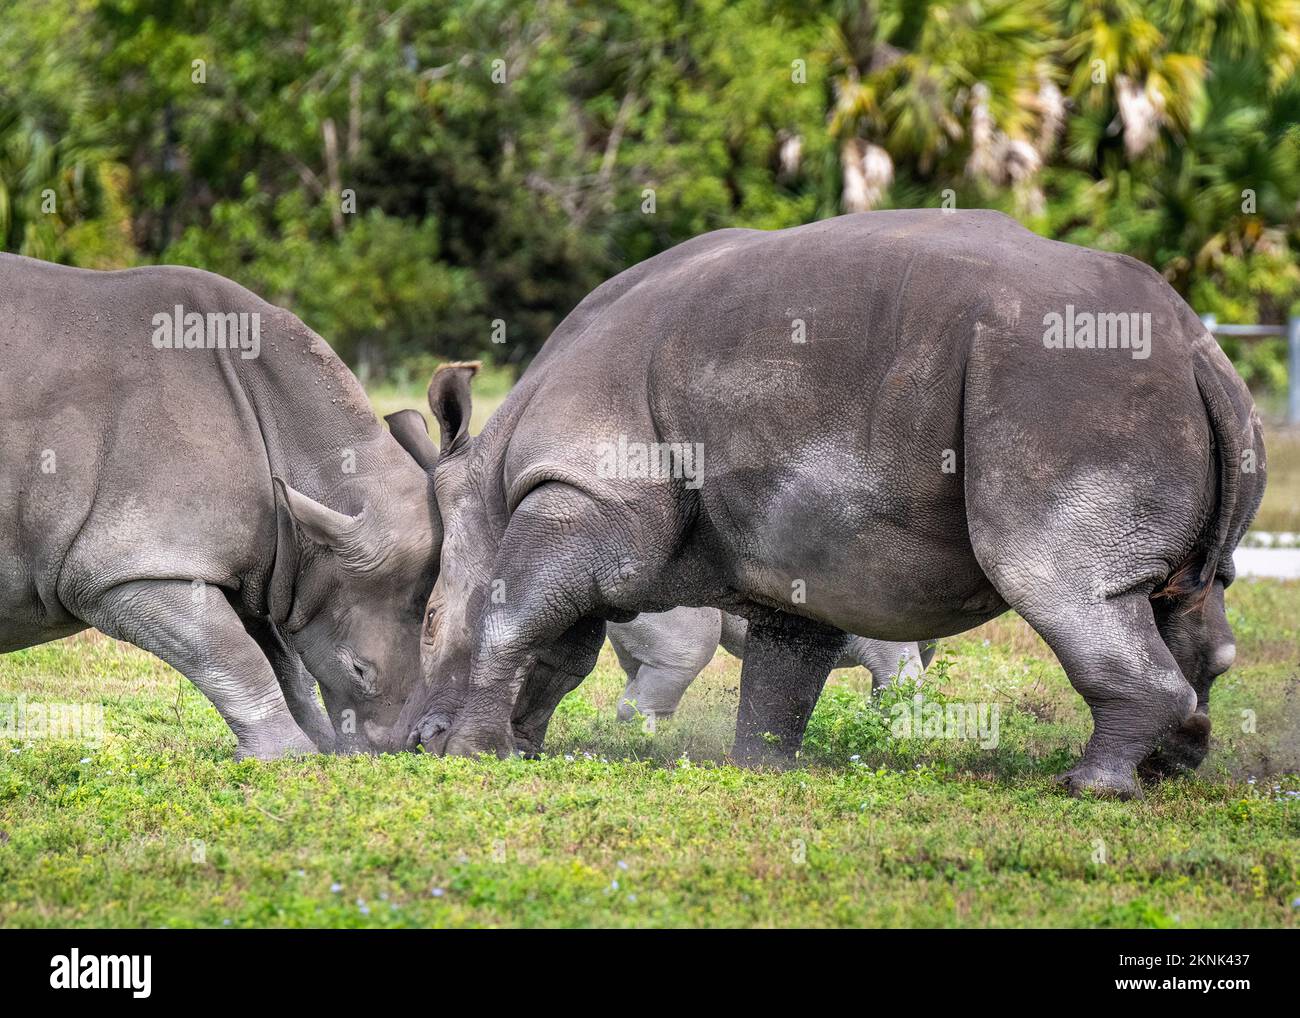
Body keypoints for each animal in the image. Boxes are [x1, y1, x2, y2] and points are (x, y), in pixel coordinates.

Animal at [0, 254, 439, 759]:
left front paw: (317, 749)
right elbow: (230, 653)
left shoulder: (273, 560)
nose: (395, 752)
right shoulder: (130, 567)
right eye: (358, 669)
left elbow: (283, 660)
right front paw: (288, 757)